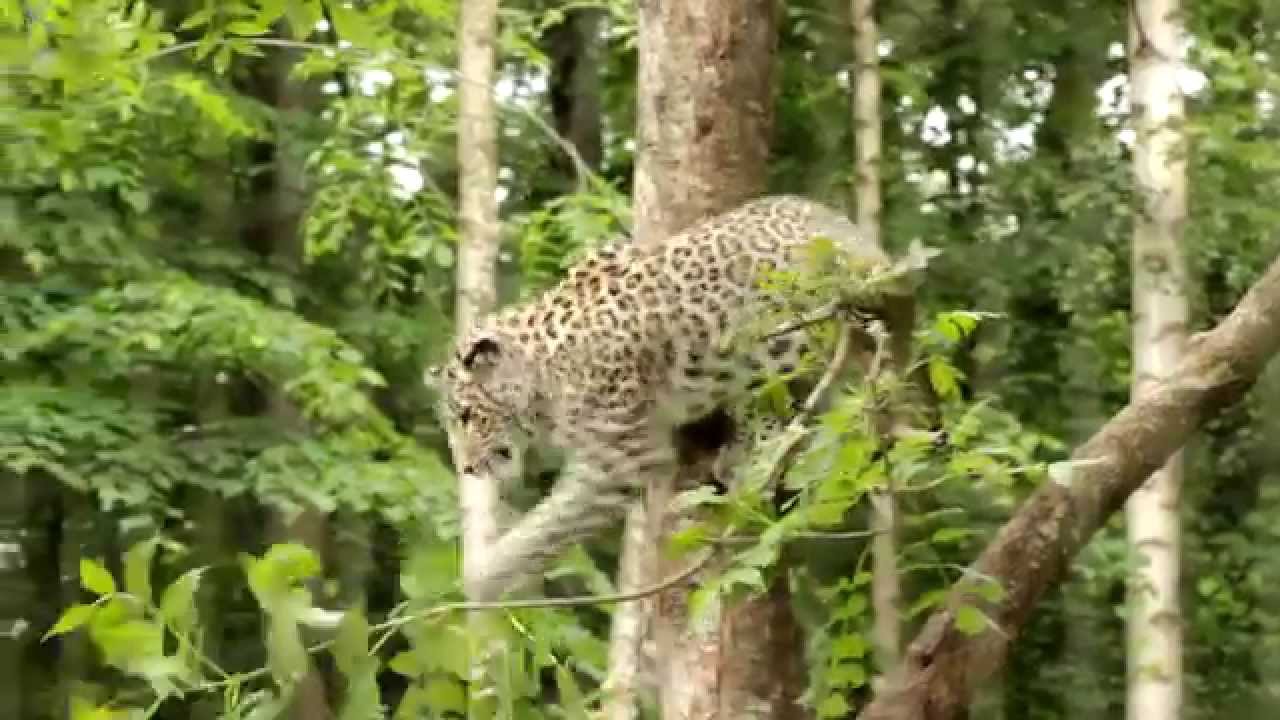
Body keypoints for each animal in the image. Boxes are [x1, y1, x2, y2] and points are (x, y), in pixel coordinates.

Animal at [431, 195, 908, 601]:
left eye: (468, 416)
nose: (468, 468)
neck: (542, 369)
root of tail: (868, 252)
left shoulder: (620, 460)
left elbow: (547, 527)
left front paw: (480, 582)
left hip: (778, 332)